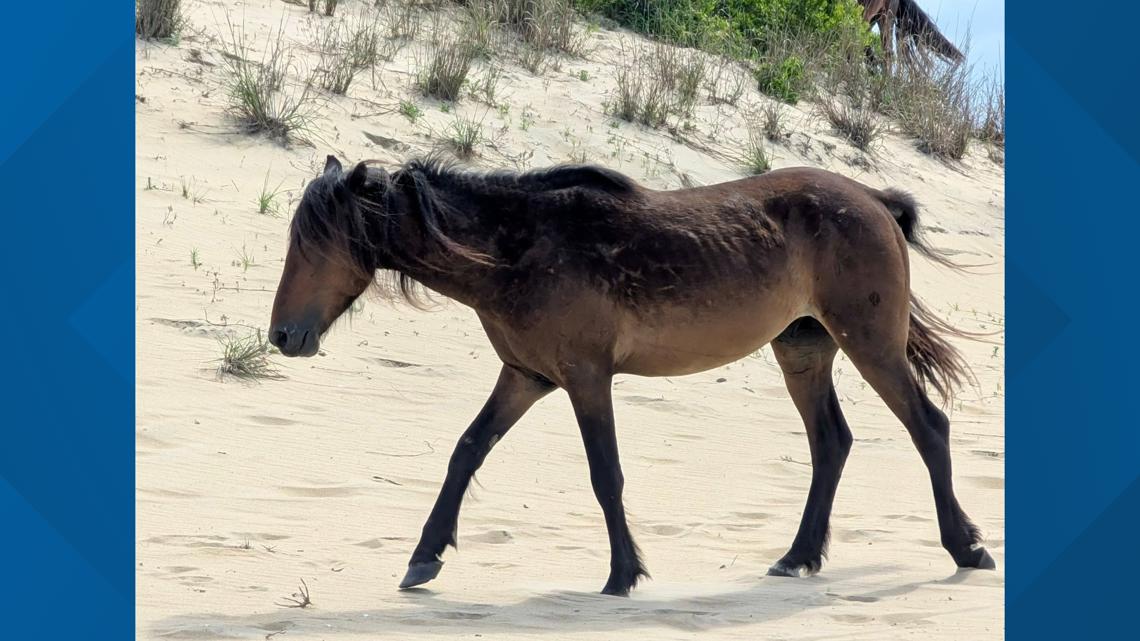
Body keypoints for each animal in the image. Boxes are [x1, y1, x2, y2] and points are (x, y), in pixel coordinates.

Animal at [268, 155, 996, 596]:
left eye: (316, 242)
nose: (281, 336)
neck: (516, 248)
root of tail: (871, 197)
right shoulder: (525, 376)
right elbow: (466, 451)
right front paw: (424, 556)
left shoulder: (586, 379)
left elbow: (605, 475)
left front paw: (623, 573)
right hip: (804, 352)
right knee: (831, 444)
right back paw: (797, 556)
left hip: (871, 344)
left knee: (928, 427)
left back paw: (966, 548)